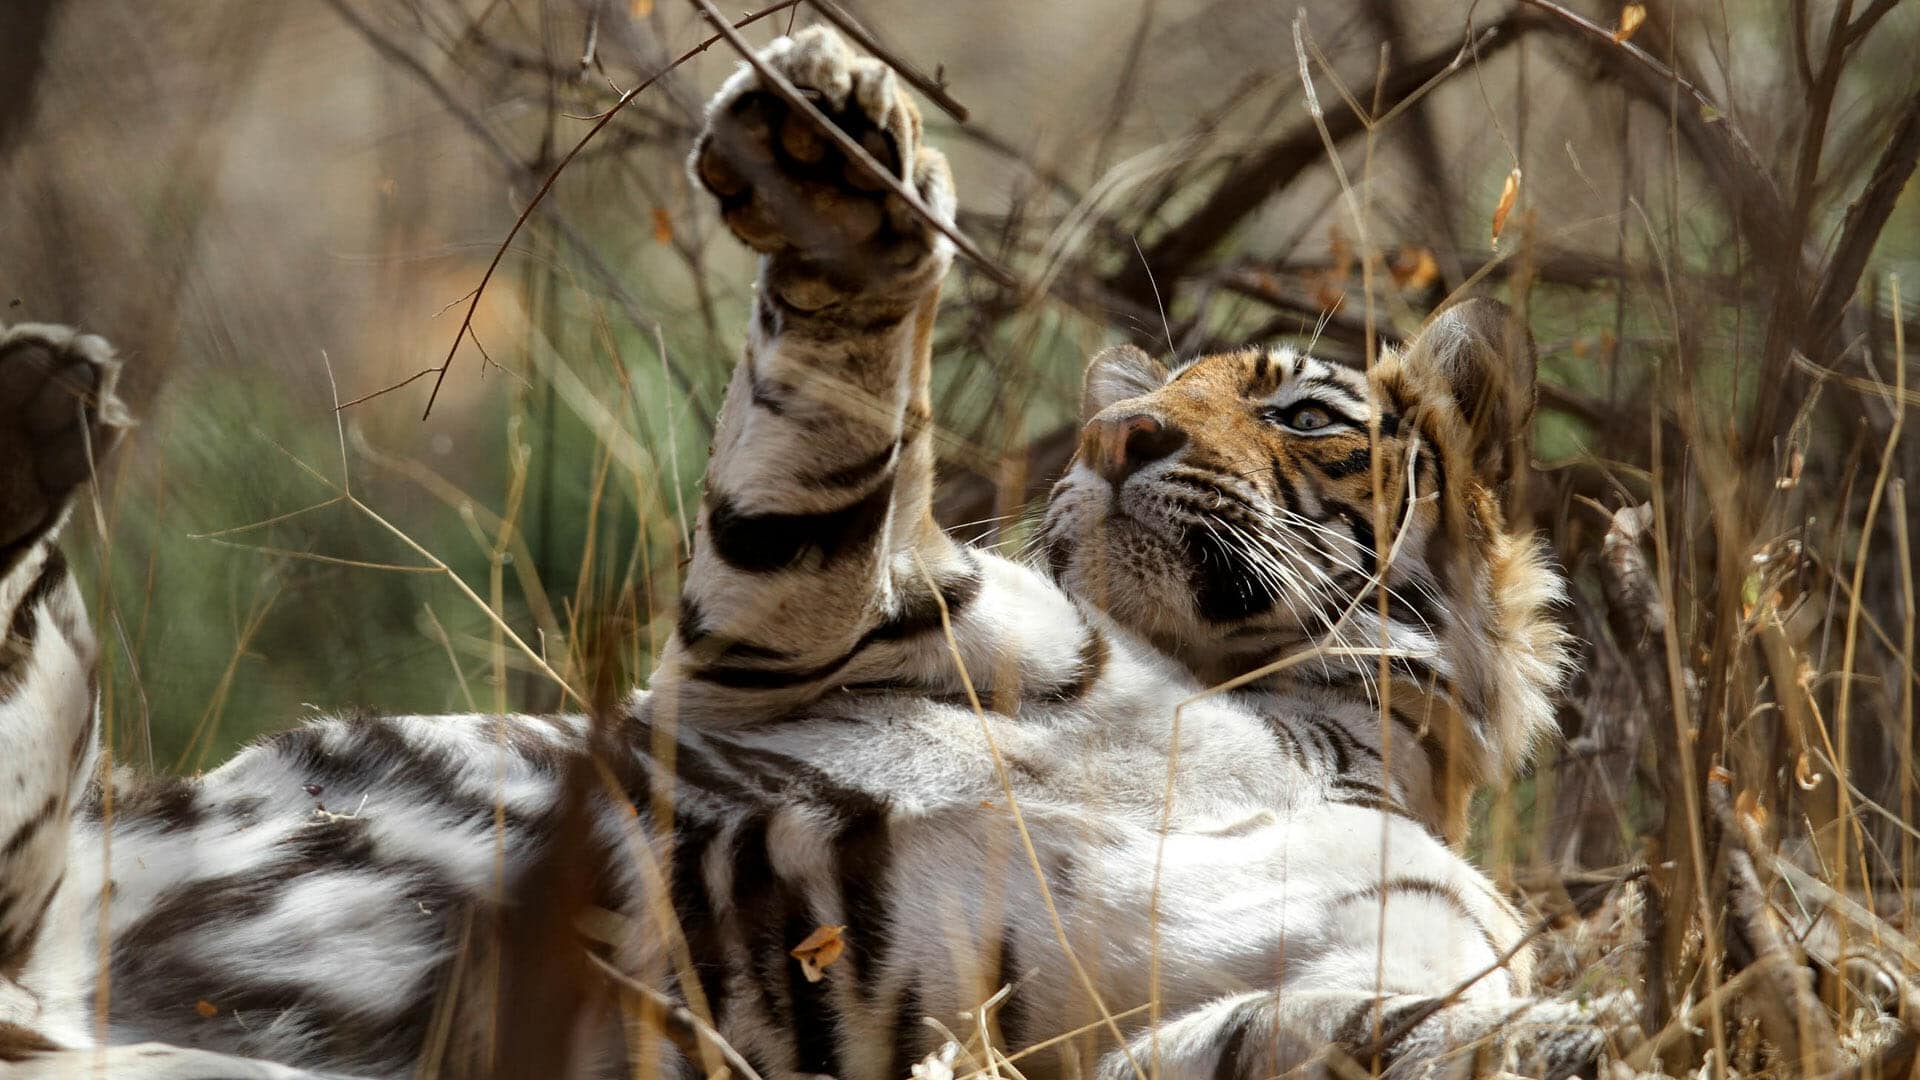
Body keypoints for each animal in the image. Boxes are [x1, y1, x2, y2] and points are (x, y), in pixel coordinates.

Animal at [0, 25, 1628, 1080]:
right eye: (1145, 403)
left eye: (1297, 409)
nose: (1116, 438)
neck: (1286, 712)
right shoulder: (807, 640)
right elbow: (834, 426)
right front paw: (835, 164)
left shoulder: (1320, 986)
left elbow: (1365, 1033)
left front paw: (1575, 1036)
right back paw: (40, 407)